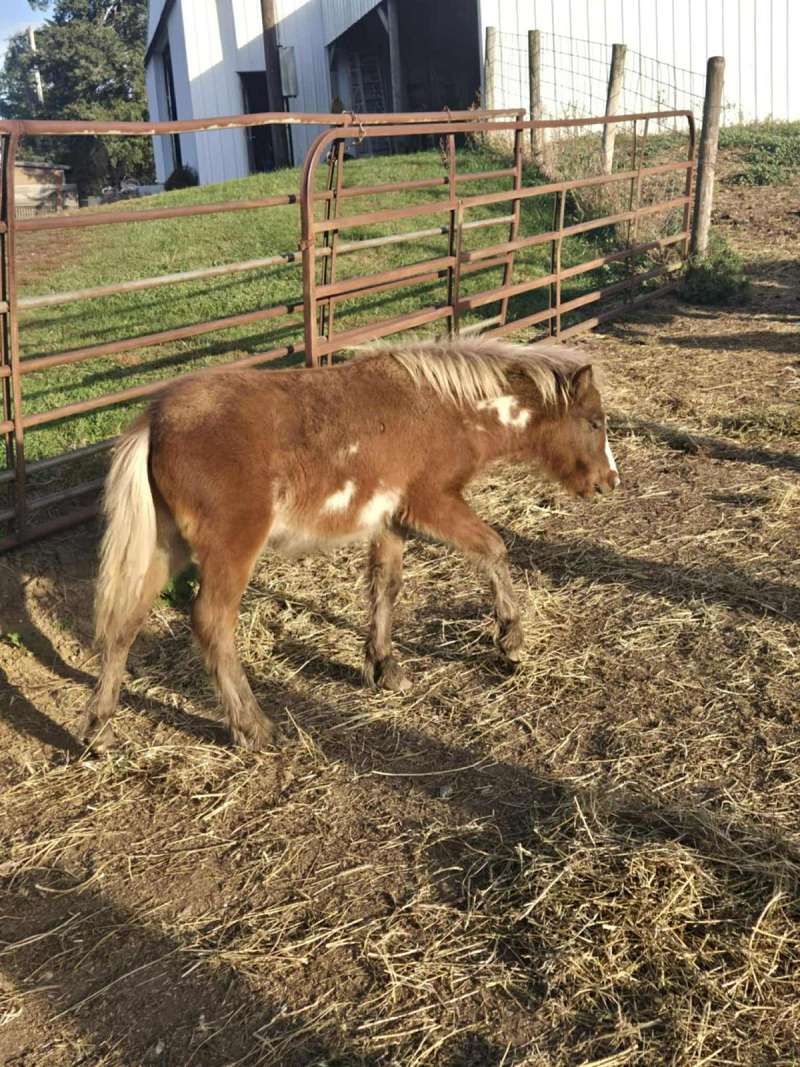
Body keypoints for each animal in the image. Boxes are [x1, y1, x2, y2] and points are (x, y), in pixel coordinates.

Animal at [79, 338, 619, 752]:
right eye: (594, 421)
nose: (608, 482)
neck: (444, 409)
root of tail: (154, 419)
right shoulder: (432, 504)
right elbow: (493, 547)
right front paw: (510, 641)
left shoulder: (390, 520)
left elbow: (386, 586)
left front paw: (384, 667)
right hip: (231, 548)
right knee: (211, 623)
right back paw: (253, 727)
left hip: (165, 545)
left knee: (125, 622)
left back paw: (99, 729)